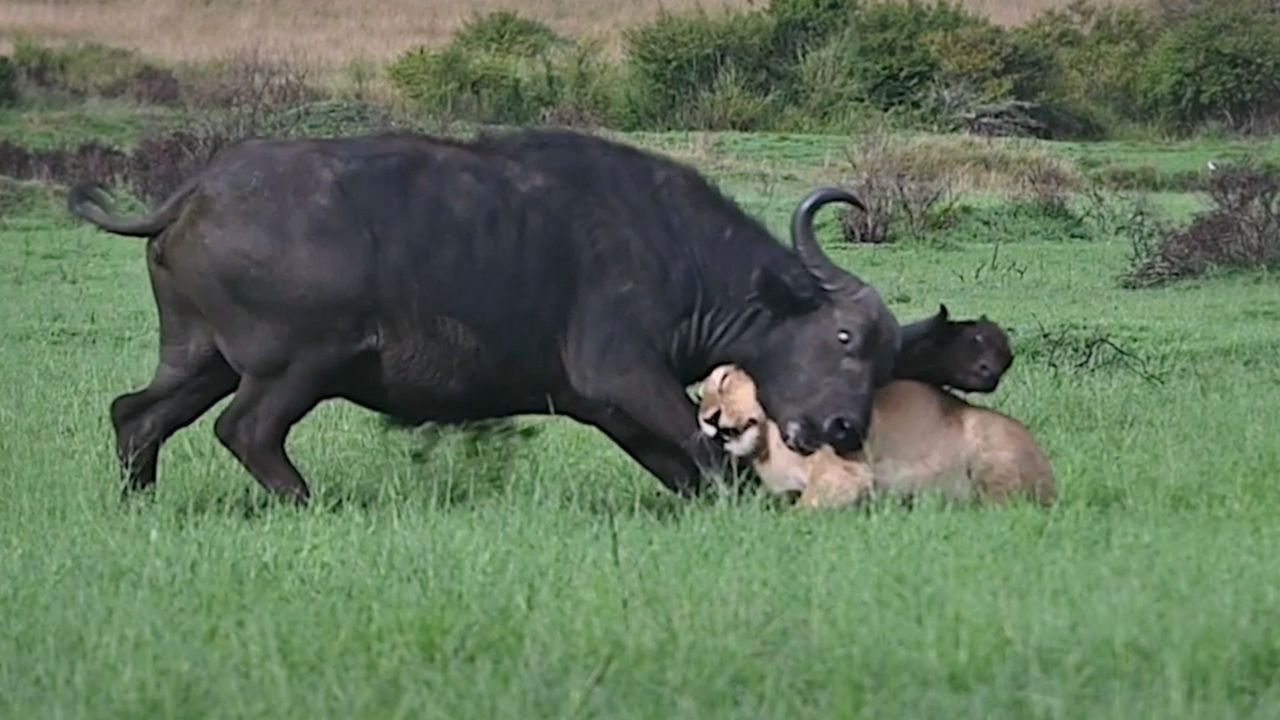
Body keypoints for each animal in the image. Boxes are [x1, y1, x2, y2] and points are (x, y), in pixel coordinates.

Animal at [67, 128, 902, 504]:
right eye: (844, 337)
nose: (845, 428)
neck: (675, 247)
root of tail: (193, 194)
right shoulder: (627, 376)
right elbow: (705, 453)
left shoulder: (609, 404)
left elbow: (684, 466)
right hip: (297, 364)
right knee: (245, 431)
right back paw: (308, 504)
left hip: (199, 358)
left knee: (137, 413)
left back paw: (140, 502)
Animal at [696, 310, 1056, 508]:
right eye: (701, 396)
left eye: (724, 381)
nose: (708, 419)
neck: (766, 447)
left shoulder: (846, 476)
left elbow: (795, 514)